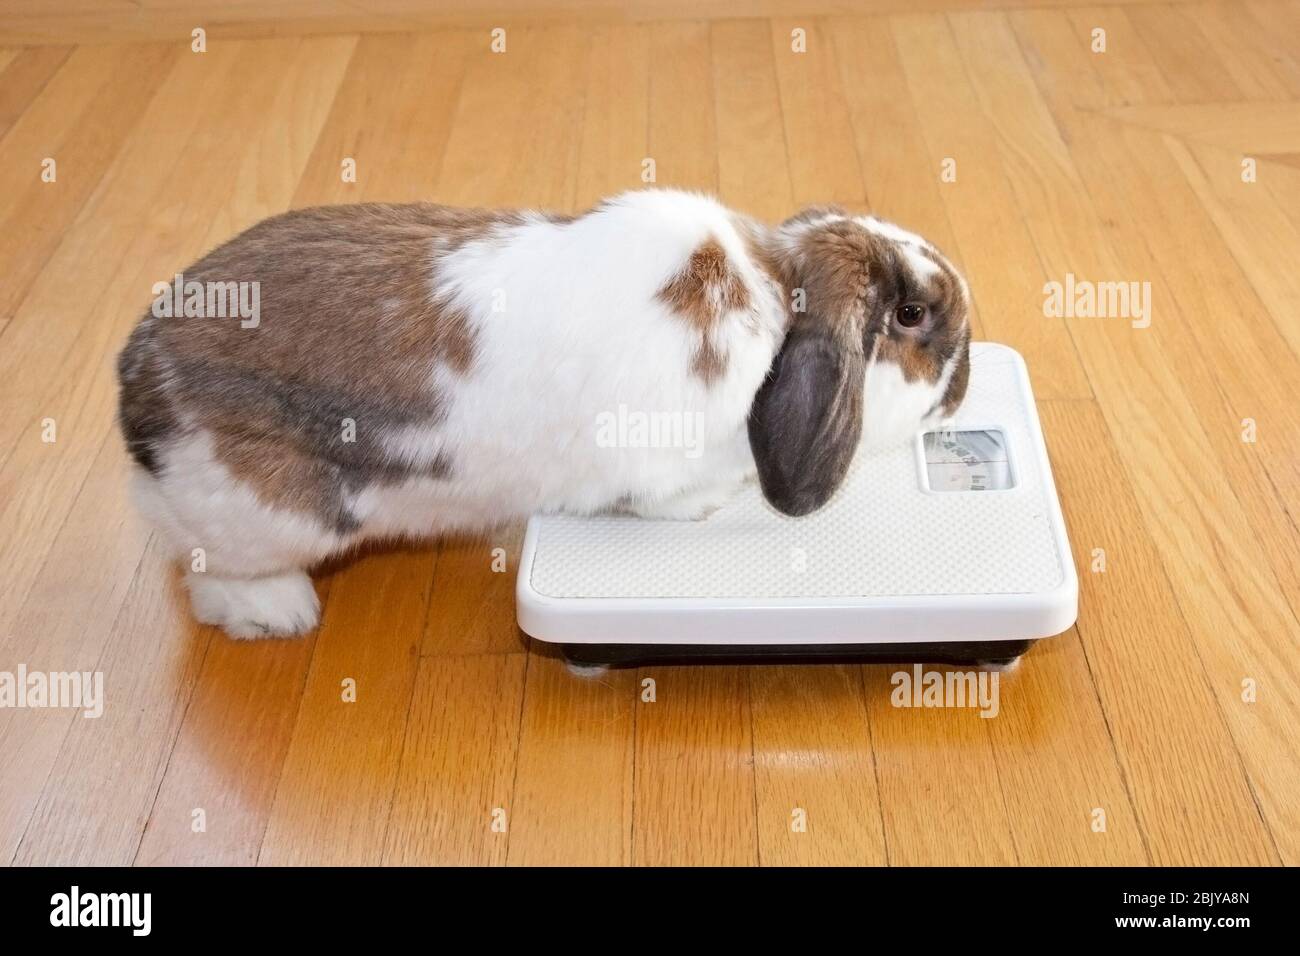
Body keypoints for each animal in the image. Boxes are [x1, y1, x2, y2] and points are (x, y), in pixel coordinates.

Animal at [117, 189, 971, 638]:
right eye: (910, 315)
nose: (962, 387)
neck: (771, 301)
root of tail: (136, 377)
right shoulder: (653, 468)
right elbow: (668, 498)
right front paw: (710, 506)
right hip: (264, 513)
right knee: (206, 571)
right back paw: (279, 612)